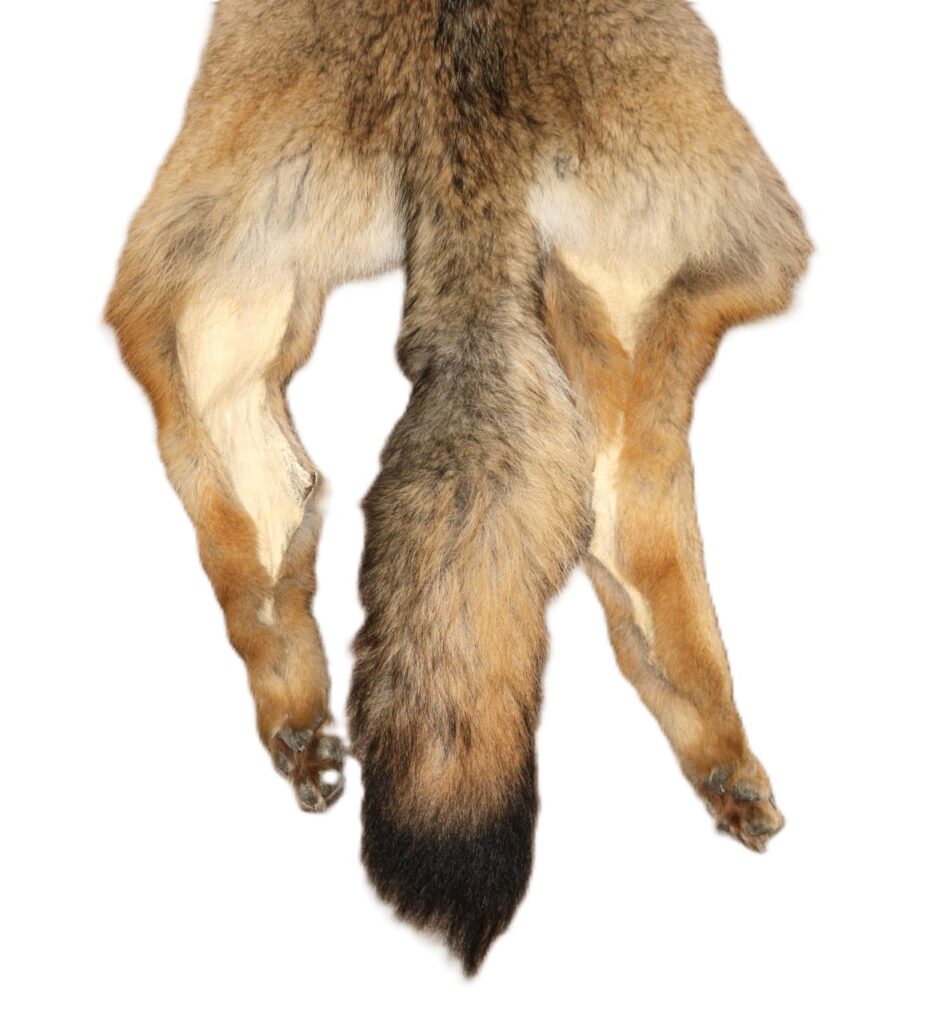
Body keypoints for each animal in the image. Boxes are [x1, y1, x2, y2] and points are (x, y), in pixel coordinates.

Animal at [106, 0, 810, 973]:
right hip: (666, 277)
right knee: (645, 546)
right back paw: (730, 769)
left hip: (224, 278)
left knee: (257, 535)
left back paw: (298, 719)